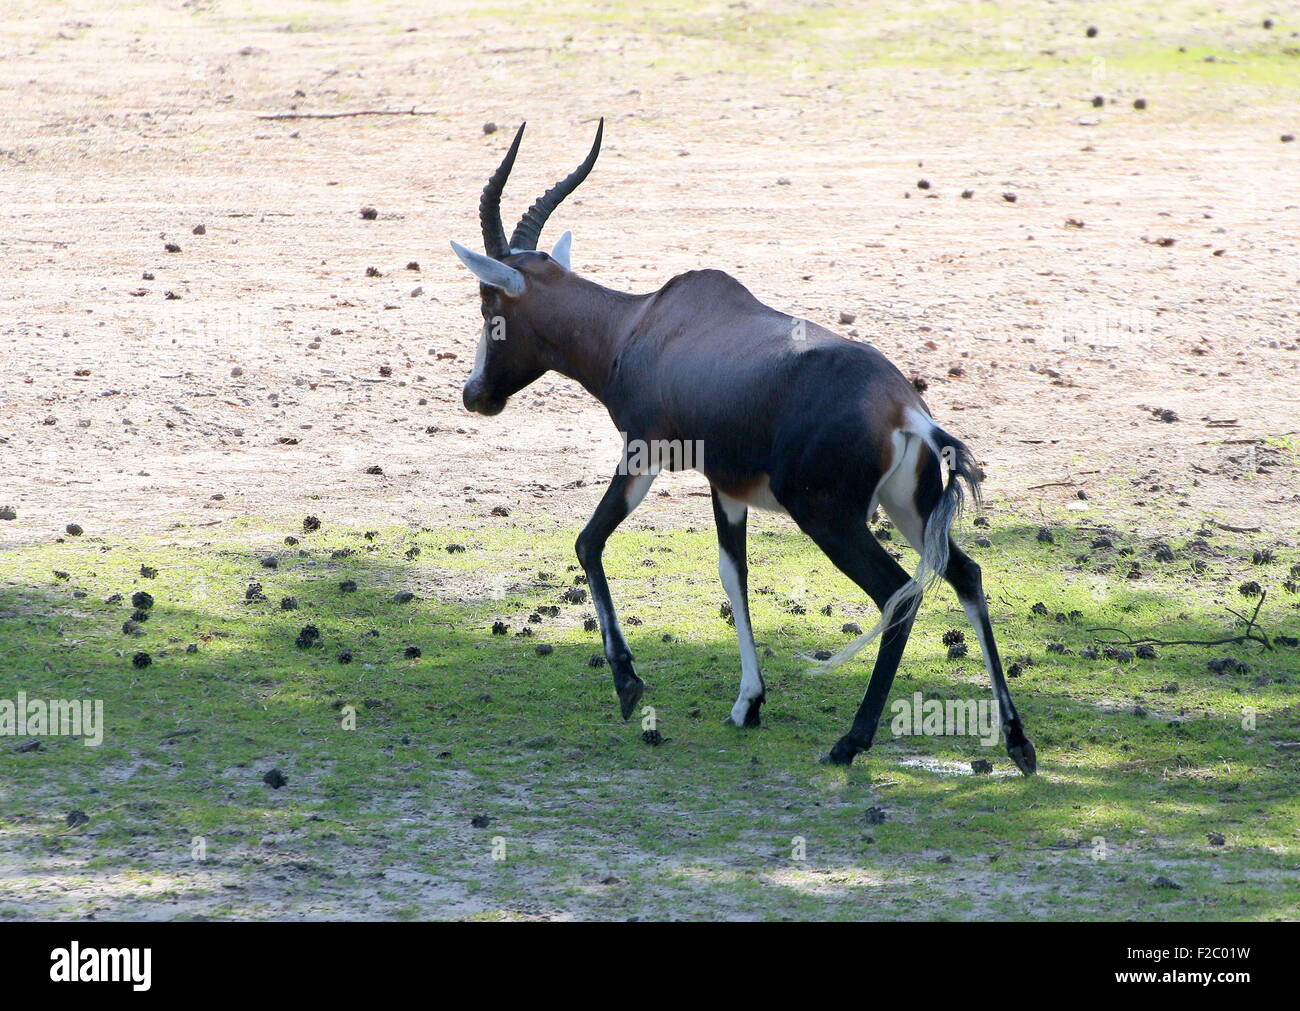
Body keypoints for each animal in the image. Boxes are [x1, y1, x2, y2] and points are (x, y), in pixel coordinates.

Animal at [449, 121, 1036, 774]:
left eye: (488, 306)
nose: (476, 395)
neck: (644, 325)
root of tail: (905, 408)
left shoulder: (642, 455)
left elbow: (588, 541)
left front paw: (629, 685)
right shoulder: (726, 487)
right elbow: (735, 574)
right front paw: (748, 703)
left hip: (829, 518)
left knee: (898, 595)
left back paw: (850, 742)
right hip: (908, 509)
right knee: (966, 575)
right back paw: (1018, 744)